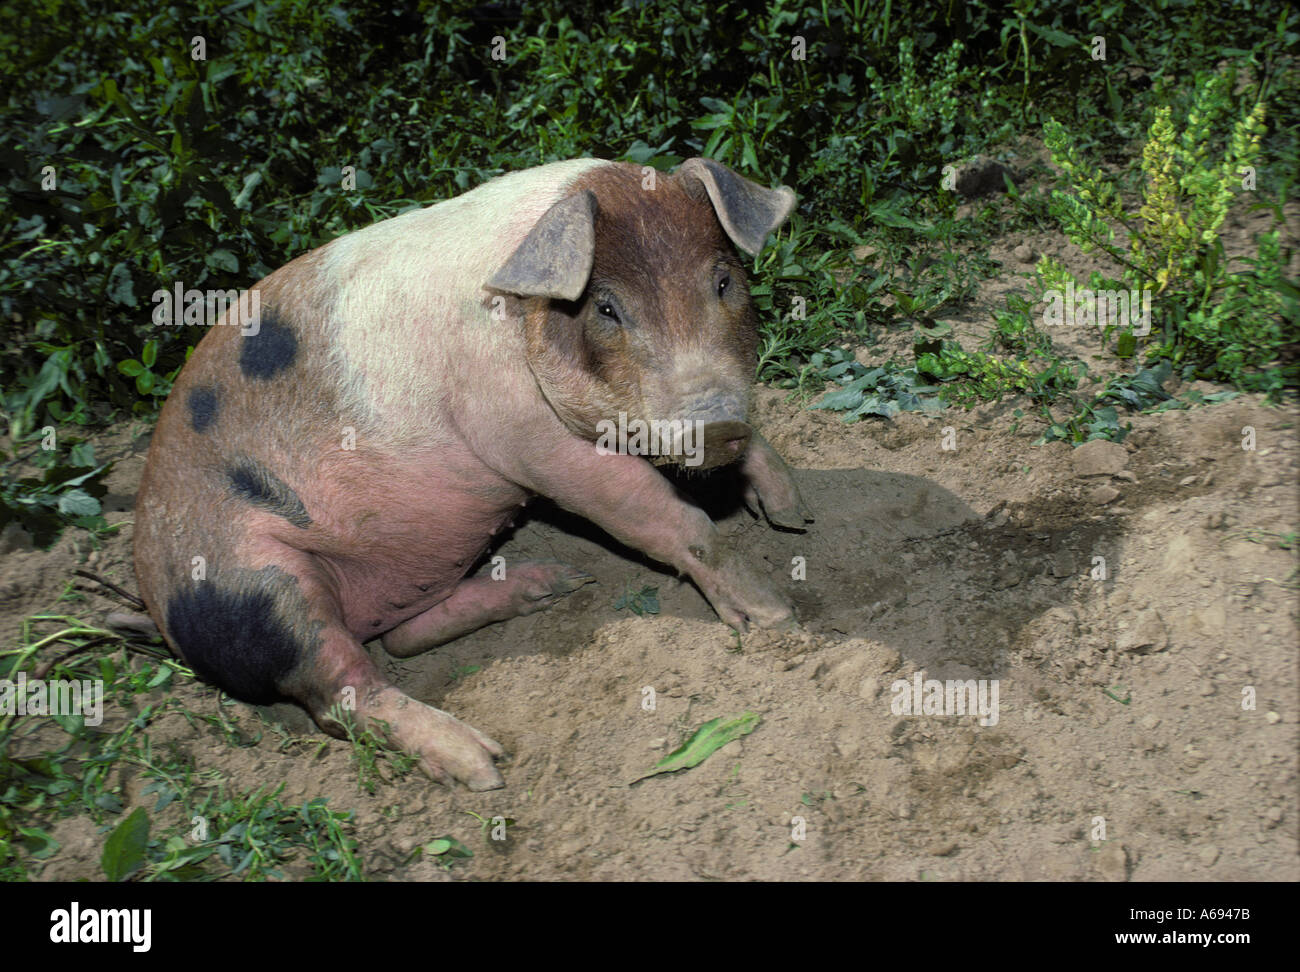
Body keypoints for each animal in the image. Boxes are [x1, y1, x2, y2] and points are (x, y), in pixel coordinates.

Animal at [133, 157, 812, 790]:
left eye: (722, 280)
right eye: (606, 307)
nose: (714, 425)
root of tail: (157, 603)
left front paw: (794, 514)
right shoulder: (527, 438)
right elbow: (665, 515)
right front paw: (775, 618)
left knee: (397, 640)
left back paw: (554, 584)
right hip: (253, 585)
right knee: (339, 694)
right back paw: (486, 764)